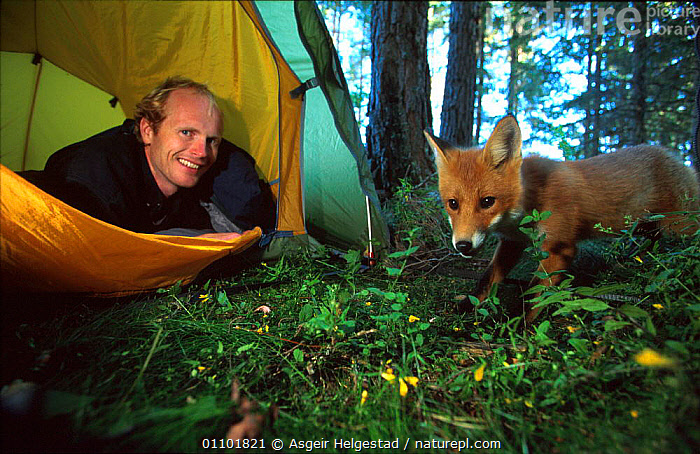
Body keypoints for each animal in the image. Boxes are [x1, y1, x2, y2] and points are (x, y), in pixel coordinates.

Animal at [425, 115, 700, 322]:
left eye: (487, 202)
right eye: (452, 204)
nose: (463, 245)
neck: (531, 200)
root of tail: (674, 156)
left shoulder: (559, 248)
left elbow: (532, 296)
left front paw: (513, 330)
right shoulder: (512, 243)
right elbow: (486, 280)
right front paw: (462, 310)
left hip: (680, 227)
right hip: (644, 225)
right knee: (652, 241)